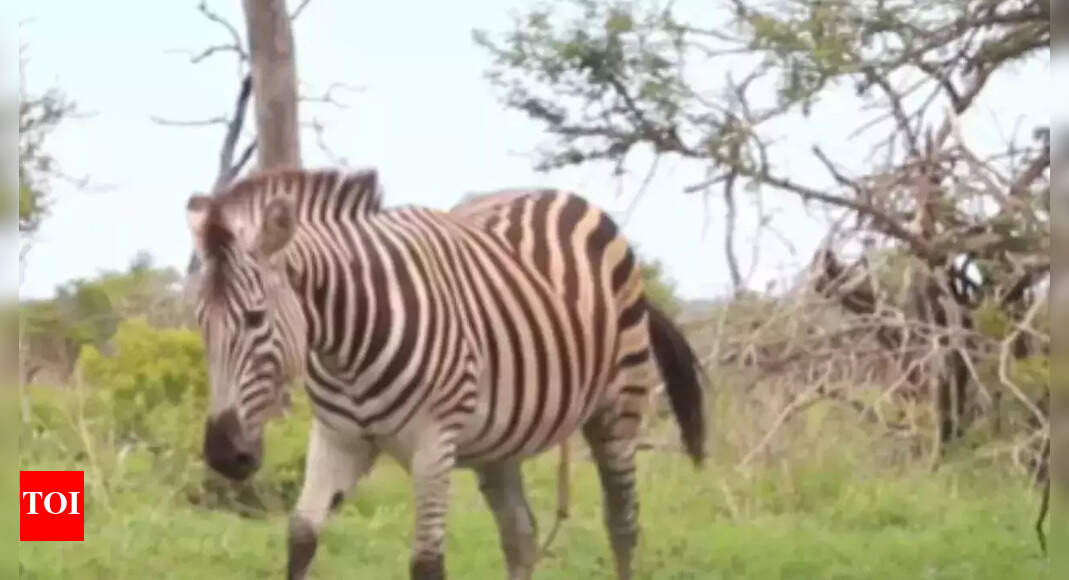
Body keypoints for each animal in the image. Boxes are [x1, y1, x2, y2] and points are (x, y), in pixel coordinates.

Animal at [186, 167, 707, 580]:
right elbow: (301, 536)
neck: (346, 346)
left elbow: (426, 562)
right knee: (521, 534)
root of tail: (561, 195)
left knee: (622, 524)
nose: (224, 454)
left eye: (256, 318)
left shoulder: (433, 443)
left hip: (618, 409)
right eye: (200, 322)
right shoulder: (337, 436)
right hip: (502, 440)